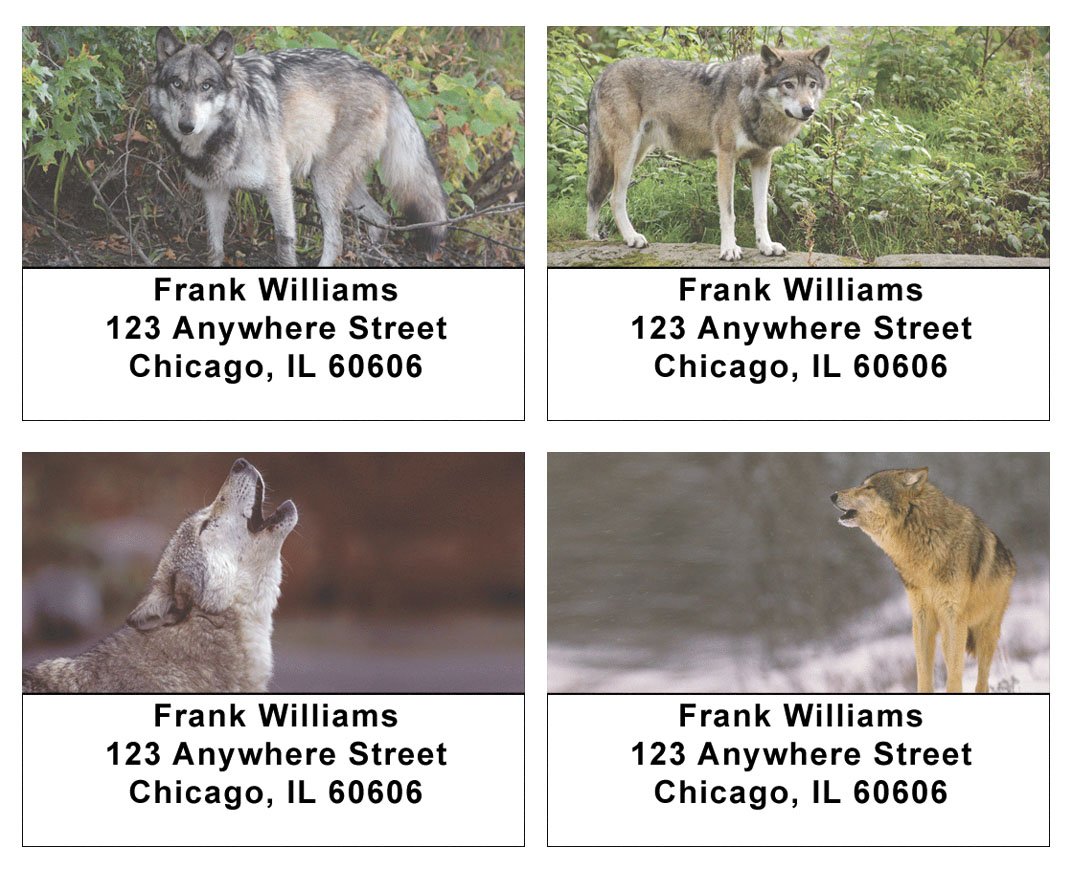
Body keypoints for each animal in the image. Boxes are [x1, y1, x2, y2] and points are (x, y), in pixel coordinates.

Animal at [149, 27, 448, 266]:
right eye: (177, 83)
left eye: (206, 86)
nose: (186, 125)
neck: (232, 128)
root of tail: (383, 76)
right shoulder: (214, 191)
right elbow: (214, 247)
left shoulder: (279, 185)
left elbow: (284, 243)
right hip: (333, 181)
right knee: (381, 219)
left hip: (325, 183)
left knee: (337, 240)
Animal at [586, 44, 829, 259]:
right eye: (788, 85)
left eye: (812, 84)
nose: (808, 109)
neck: (750, 100)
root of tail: (603, 73)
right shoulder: (726, 158)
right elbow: (728, 213)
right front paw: (729, 249)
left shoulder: (762, 161)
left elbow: (761, 214)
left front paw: (766, 246)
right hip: (627, 155)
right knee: (614, 198)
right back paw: (631, 237)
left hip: (634, 155)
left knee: (598, 195)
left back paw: (593, 238)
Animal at [831, 468, 1015, 693]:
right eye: (862, 485)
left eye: (869, 487)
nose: (833, 495)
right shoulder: (922, 617)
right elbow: (924, 674)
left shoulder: (953, 616)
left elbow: (954, 675)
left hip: (985, 633)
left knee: (982, 681)